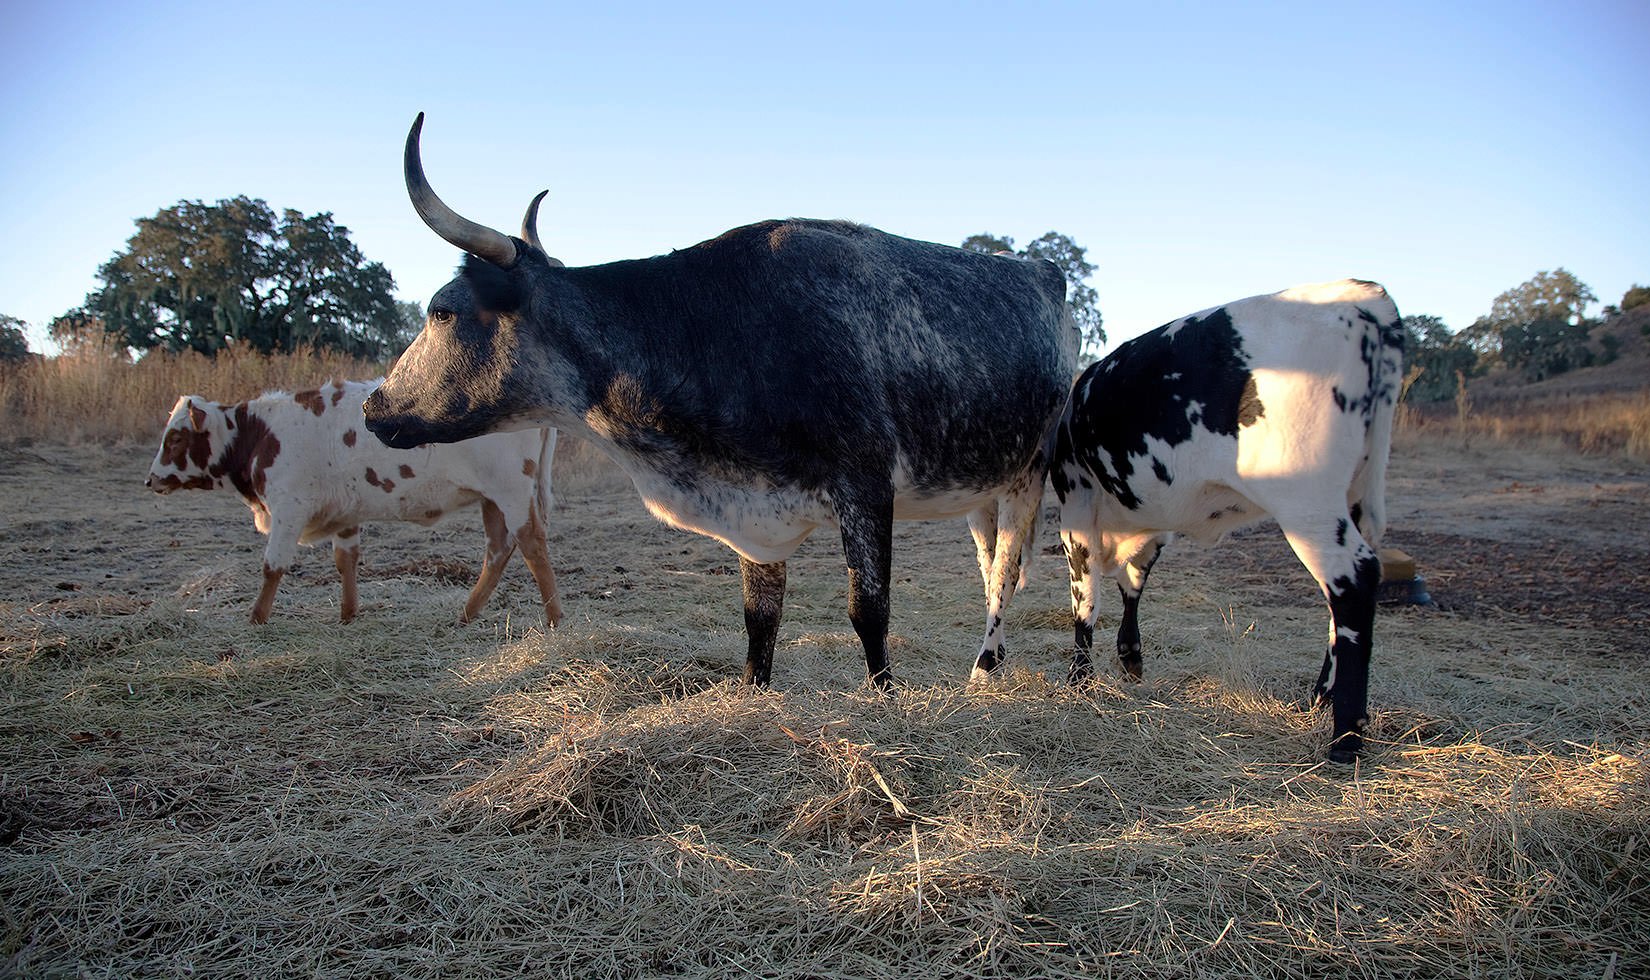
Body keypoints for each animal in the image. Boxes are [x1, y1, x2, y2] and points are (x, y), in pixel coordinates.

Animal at [146, 378, 562, 627]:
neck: (263, 433)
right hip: (492, 497)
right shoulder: (344, 512)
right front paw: (348, 614)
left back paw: (554, 619)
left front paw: (256, 618)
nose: (150, 479)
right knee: (498, 550)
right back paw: (466, 612)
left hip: (511, 490)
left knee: (531, 545)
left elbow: (272, 567)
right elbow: (345, 561)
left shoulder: (289, 508)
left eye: (177, 439)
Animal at [363, 114, 1078, 688]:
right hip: (980, 483)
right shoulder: (752, 509)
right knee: (990, 566)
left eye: (441, 311)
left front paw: (886, 699)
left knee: (1016, 568)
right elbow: (760, 620)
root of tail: (1043, 271)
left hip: (1035, 473)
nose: (373, 408)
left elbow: (867, 612)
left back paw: (994, 669)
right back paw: (995, 663)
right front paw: (754, 694)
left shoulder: (866, 484)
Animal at [1050, 280, 1403, 762]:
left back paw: (1345, 739)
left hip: (1306, 501)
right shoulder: (1154, 529)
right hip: (1351, 501)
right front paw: (1130, 659)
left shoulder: (1077, 510)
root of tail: (1355, 294)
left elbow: (1085, 599)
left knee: (1354, 581)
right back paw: (1319, 700)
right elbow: (1133, 584)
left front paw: (1079, 682)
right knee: (1339, 601)